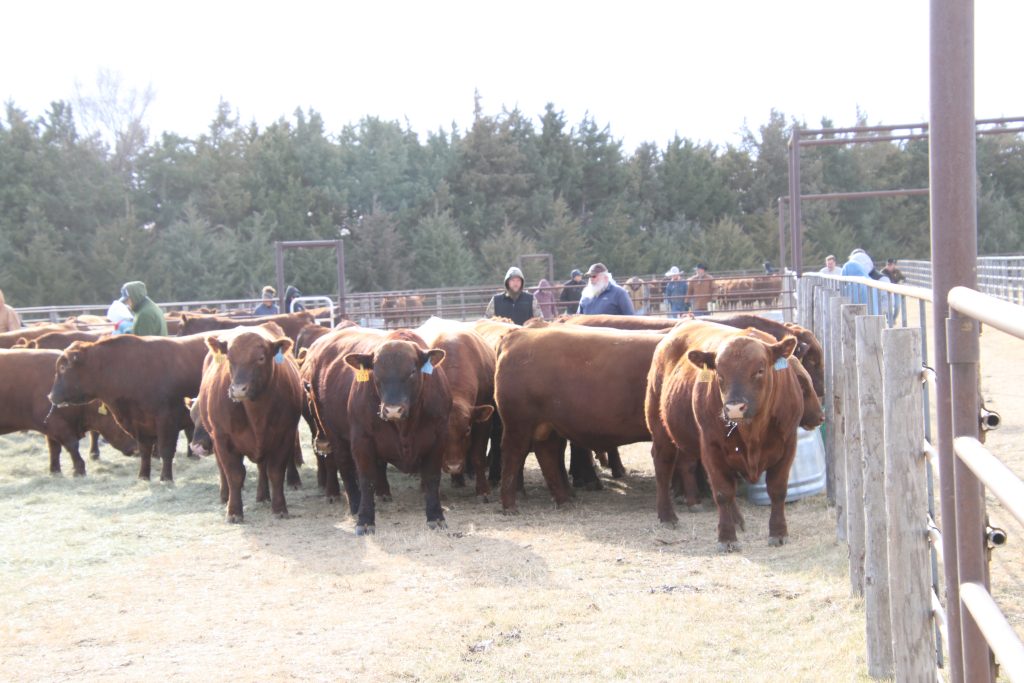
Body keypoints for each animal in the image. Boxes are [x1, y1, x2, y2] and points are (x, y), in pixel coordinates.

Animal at [1, 348, 136, 475]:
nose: (138, 449)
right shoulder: (58, 426)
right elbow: (72, 446)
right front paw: (79, 470)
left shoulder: (51, 428)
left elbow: (55, 449)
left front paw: (55, 471)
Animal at [47, 334, 212, 481]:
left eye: (63, 367)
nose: (50, 396)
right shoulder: (139, 424)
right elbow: (145, 451)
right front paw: (143, 476)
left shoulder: (167, 421)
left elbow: (166, 450)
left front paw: (166, 478)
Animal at [199, 326, 304, 522]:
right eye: (229, 358)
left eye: (261, 358)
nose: (238, 389)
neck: (256, 413)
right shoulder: (222, 438)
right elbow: (234, 474)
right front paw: (234, 512)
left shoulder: (285, 435)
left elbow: (275, 472)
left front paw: (279, 508)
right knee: (222, 469)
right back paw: (225, 496)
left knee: (262, 468)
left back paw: (263, 495)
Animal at [494, 325, 665, 513]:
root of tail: (517, 334)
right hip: (519, 424)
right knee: (513, 454)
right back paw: (510, 505)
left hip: (547, 425)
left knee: (547, 453)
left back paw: (564, 499)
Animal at [645, 320, 803, 551]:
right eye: (719, 374)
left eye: (760, 370)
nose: (734, 407)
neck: (753, 432)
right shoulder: (712, 446)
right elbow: (722, 492)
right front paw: (727, 537)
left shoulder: (788, 443)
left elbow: (777, 489)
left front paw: (778, 533)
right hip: (660, 429)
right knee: (663, 467)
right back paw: (667, 516)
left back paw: (737, 519)